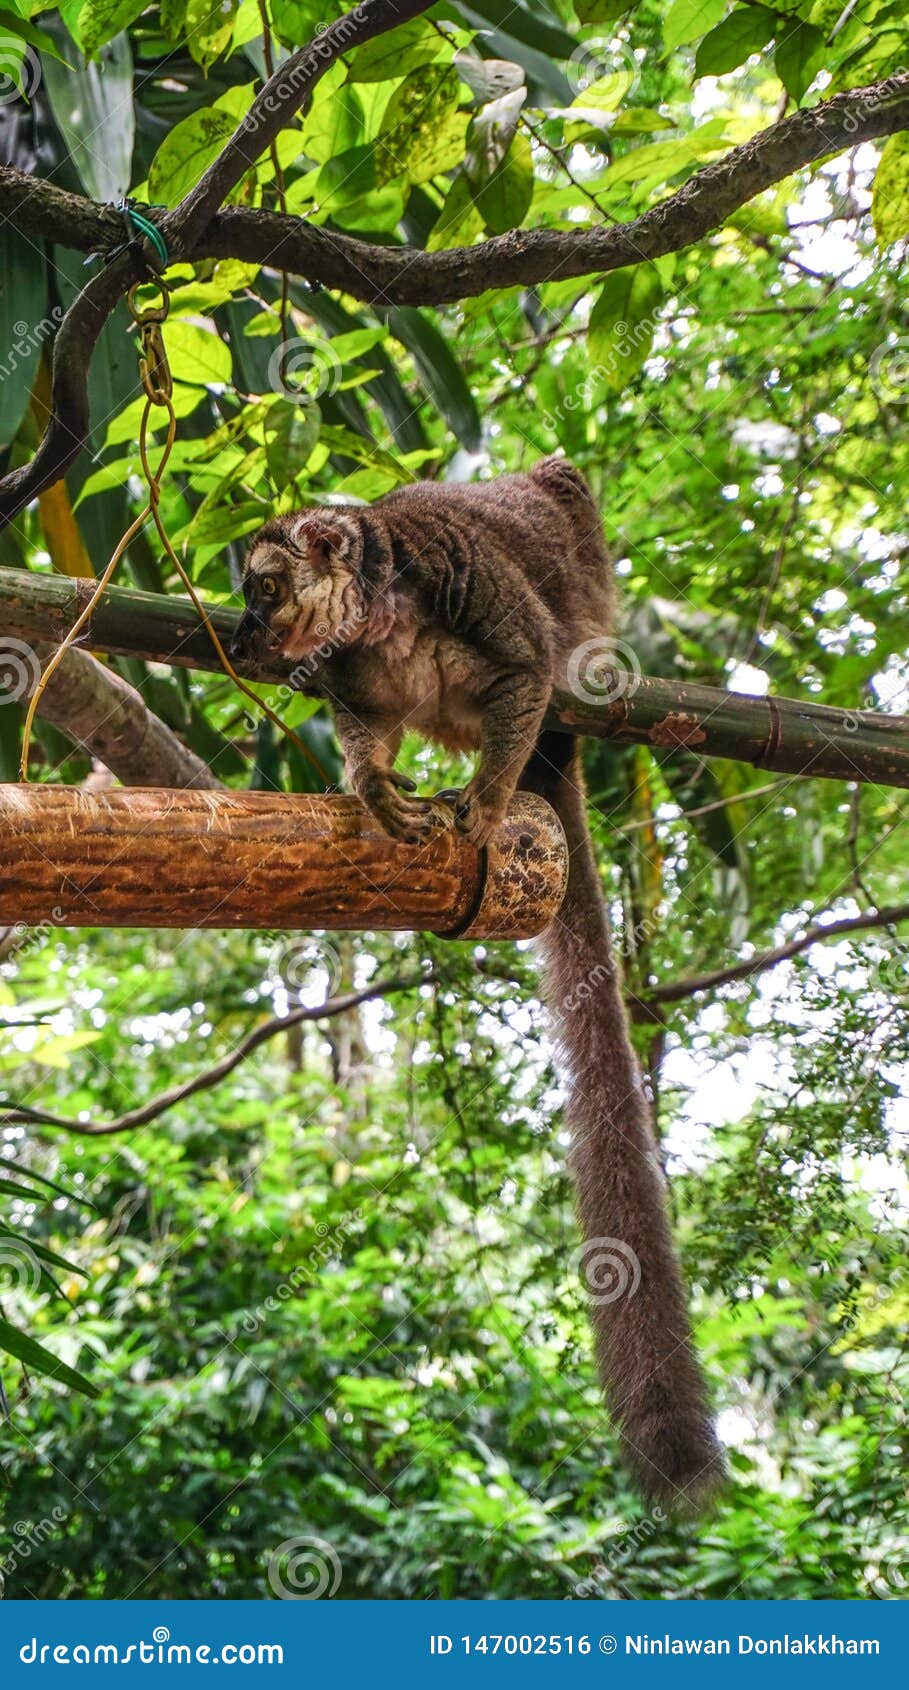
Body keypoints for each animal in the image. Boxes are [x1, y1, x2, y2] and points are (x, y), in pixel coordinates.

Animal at [232, 456, 726, 1510]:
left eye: (263, 591)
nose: (243, 639)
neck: (381, 620)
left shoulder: (473, 590)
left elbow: (526, 671)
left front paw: (493, 804)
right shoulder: (351, 677)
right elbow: (366, 731)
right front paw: (375, 792)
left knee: (558, 506)